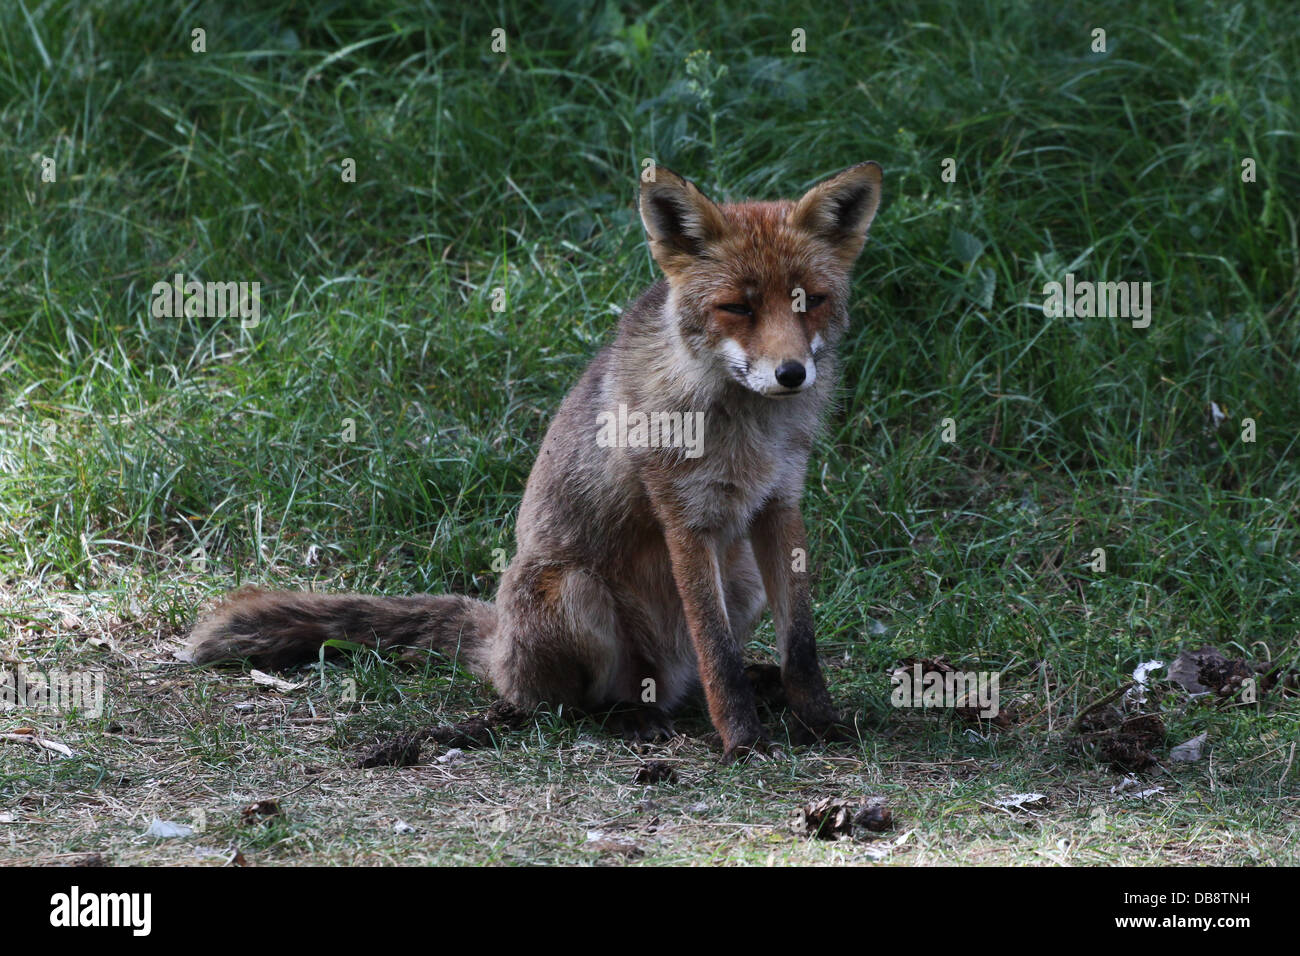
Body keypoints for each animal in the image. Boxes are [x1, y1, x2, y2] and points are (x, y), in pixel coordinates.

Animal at [184, 161, 883, 762]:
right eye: (737, 307)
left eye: (810, 301)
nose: (790, 374)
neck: (750, 428)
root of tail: (499, 647)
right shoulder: (685, 514)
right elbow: (718, 654)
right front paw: (743, 740)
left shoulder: (779, 503)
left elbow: (801, 646)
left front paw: (820, 722)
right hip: (573, 593)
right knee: (567, 704)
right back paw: (621, 717)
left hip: (740, 578)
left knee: (687, 679)